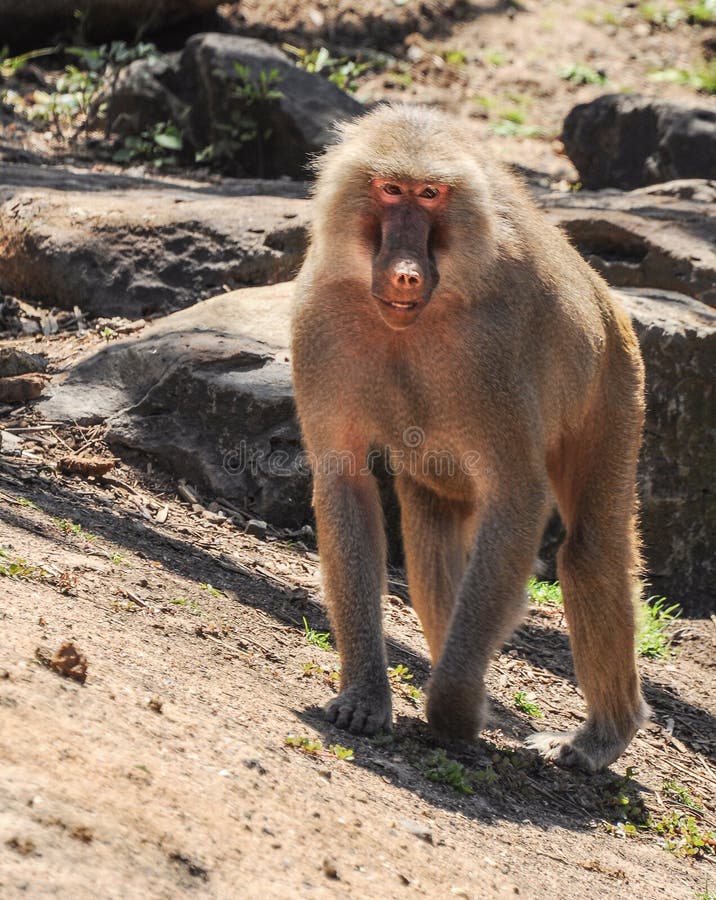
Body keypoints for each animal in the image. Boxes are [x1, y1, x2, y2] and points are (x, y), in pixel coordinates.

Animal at [290, 104, 648, 773]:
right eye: (391, 190)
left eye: (430, 195)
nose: (405, 272)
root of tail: (607, 296)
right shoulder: (318, 321)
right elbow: (346, 485)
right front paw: (365, 696)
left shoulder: (494, 351)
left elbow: (518, 498)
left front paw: (455, 708)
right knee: (433, 528)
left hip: (617, 379)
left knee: (588, 552)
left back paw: (601, 737)